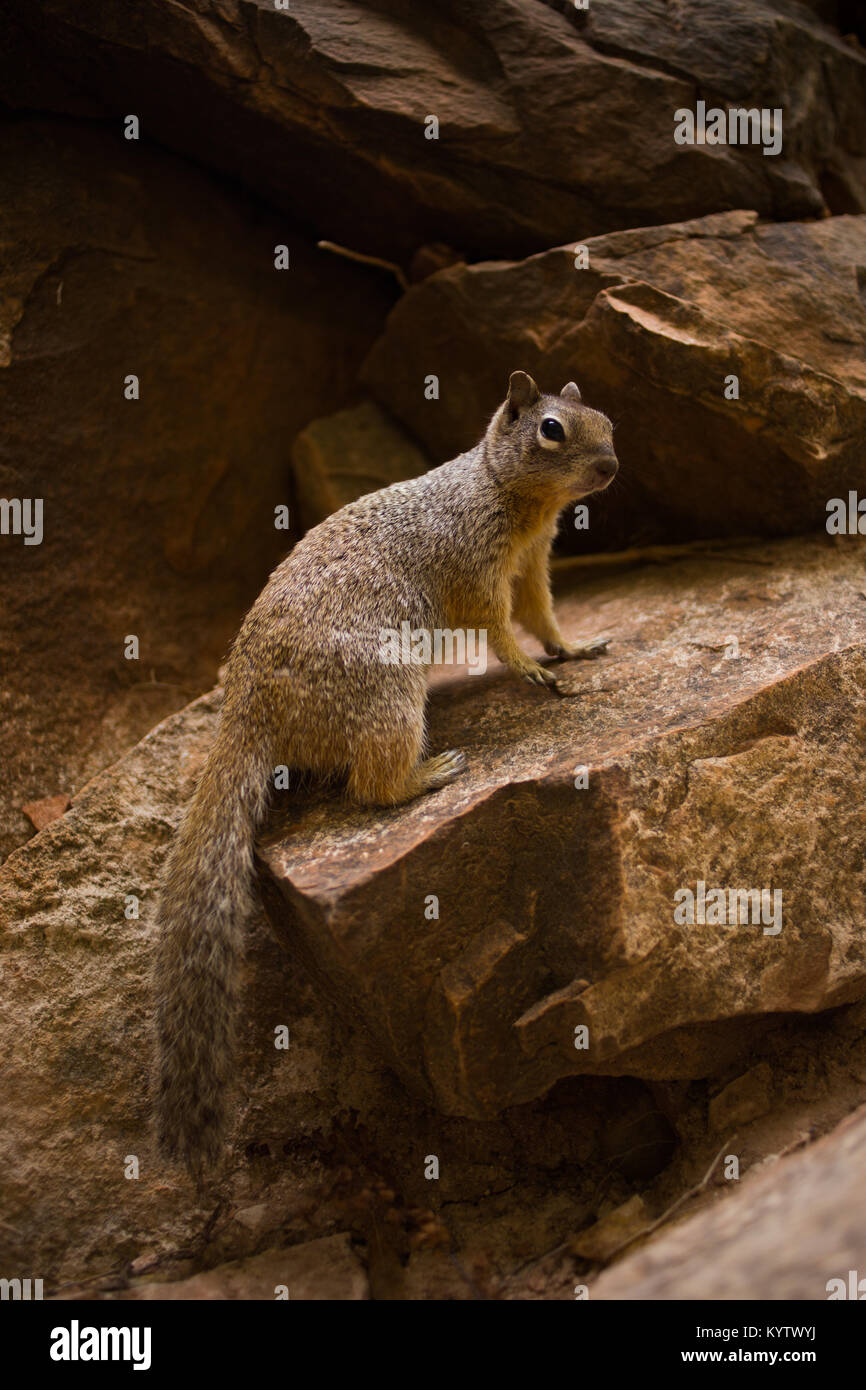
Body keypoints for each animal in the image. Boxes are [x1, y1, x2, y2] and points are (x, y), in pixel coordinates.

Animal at [153, 372, 618, 1178]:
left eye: (608, 421)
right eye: (553, 430)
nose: (611, 468)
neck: (505, 493)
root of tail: (247, 712)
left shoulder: (533, 565)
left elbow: (542, 615)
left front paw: (574, 646)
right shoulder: (476, 571)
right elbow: (499, 626)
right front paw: (528, 669)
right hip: (388, 697)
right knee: (369, 790)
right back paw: (430, 774)